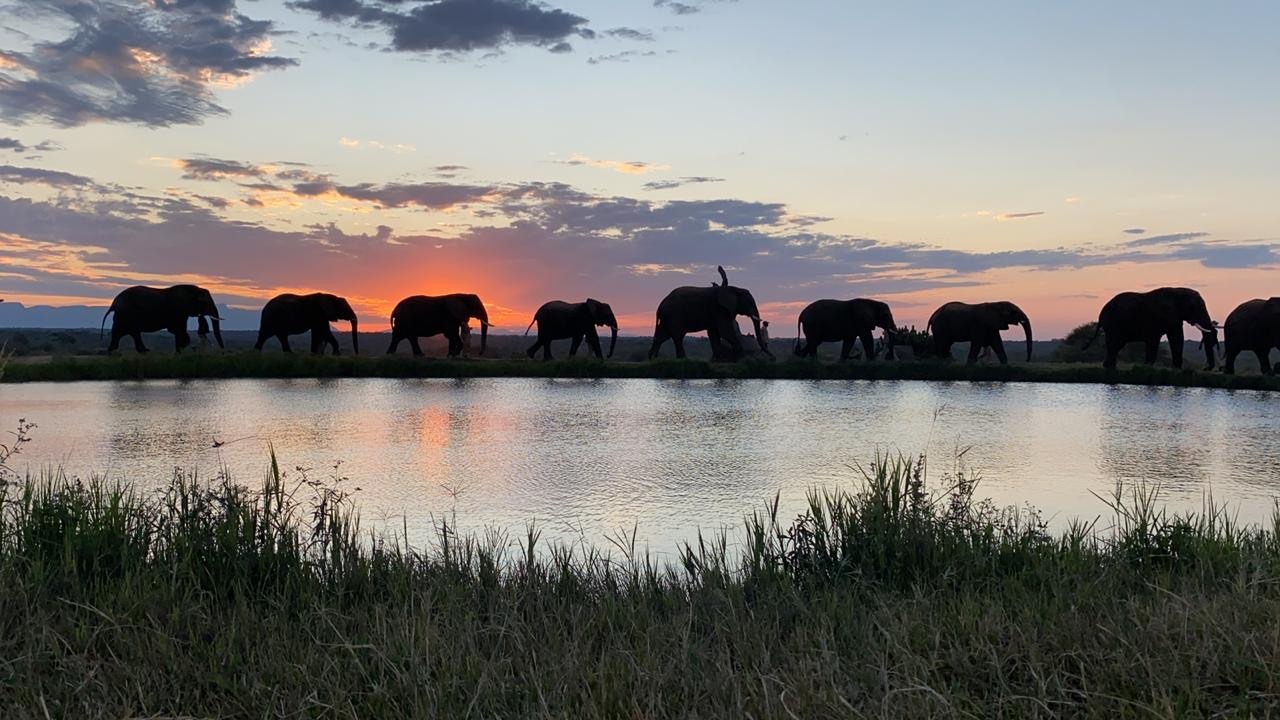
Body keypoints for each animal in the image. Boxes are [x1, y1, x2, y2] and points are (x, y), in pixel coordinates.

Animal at [1084, 288, 1218, 370]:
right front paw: (1147, 367)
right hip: (1114, 323)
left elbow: (1177, 337)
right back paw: (1111, 368)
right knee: (1115, 344)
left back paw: (1108, 367)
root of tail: (1101, 314)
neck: (1178, 291)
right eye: (1195, 307)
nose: (1205, 368)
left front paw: (1177, 369)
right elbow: (1156, 339)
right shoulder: (1160, 316)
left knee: (1116, 345)